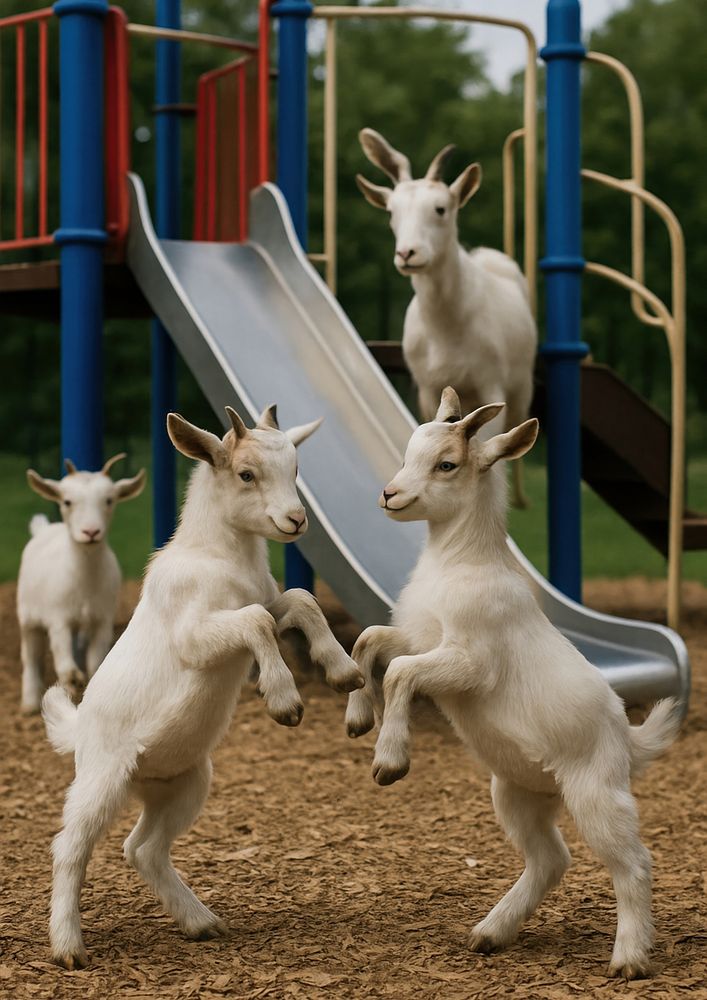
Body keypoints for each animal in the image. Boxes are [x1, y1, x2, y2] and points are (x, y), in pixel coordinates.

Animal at [17, 454, 145, 714]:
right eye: (66, 502)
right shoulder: (57, 618)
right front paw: (72, 682)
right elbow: (63, 661)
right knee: (31, 656)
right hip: (27, 614)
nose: (91, 532)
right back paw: (29, 704)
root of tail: (43, 528)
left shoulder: (102, 619)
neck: (84, 583)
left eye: (109, 500)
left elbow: (96, 661)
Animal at [42, 404, 363, 969]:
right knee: (71, 846)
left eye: (296, 468)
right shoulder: (195, 633)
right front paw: (285, 701)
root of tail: (78, 729)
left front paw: (342, 670)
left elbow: (298, 601)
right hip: (102, 776)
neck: (221, 558)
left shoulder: (267, 598)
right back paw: (69, 947)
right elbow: (258, 620)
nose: (296, 519)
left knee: (142, 848)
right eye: (246, 474)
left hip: (185, 782)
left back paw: (201, 922)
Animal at [345, 387, 680, 980]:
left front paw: (389, 762)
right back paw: (490, 933)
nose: (389, 494)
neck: (460, 564)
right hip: (516, 792)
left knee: (633, 862)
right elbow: (368, 641)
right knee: (551, 859)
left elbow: (402, 672)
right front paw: (360, 718)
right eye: (409, 451)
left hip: (597, 793)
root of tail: (630, 740)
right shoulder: (419, 636)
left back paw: (629, 959)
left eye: (447, 464)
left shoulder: (467, 661)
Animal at [356, 128, 537, 507]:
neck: (448, 328)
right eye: (391, 212)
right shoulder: (428, 388)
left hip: (521, 388)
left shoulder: (491, 386)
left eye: (440, 208)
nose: (407, 253)